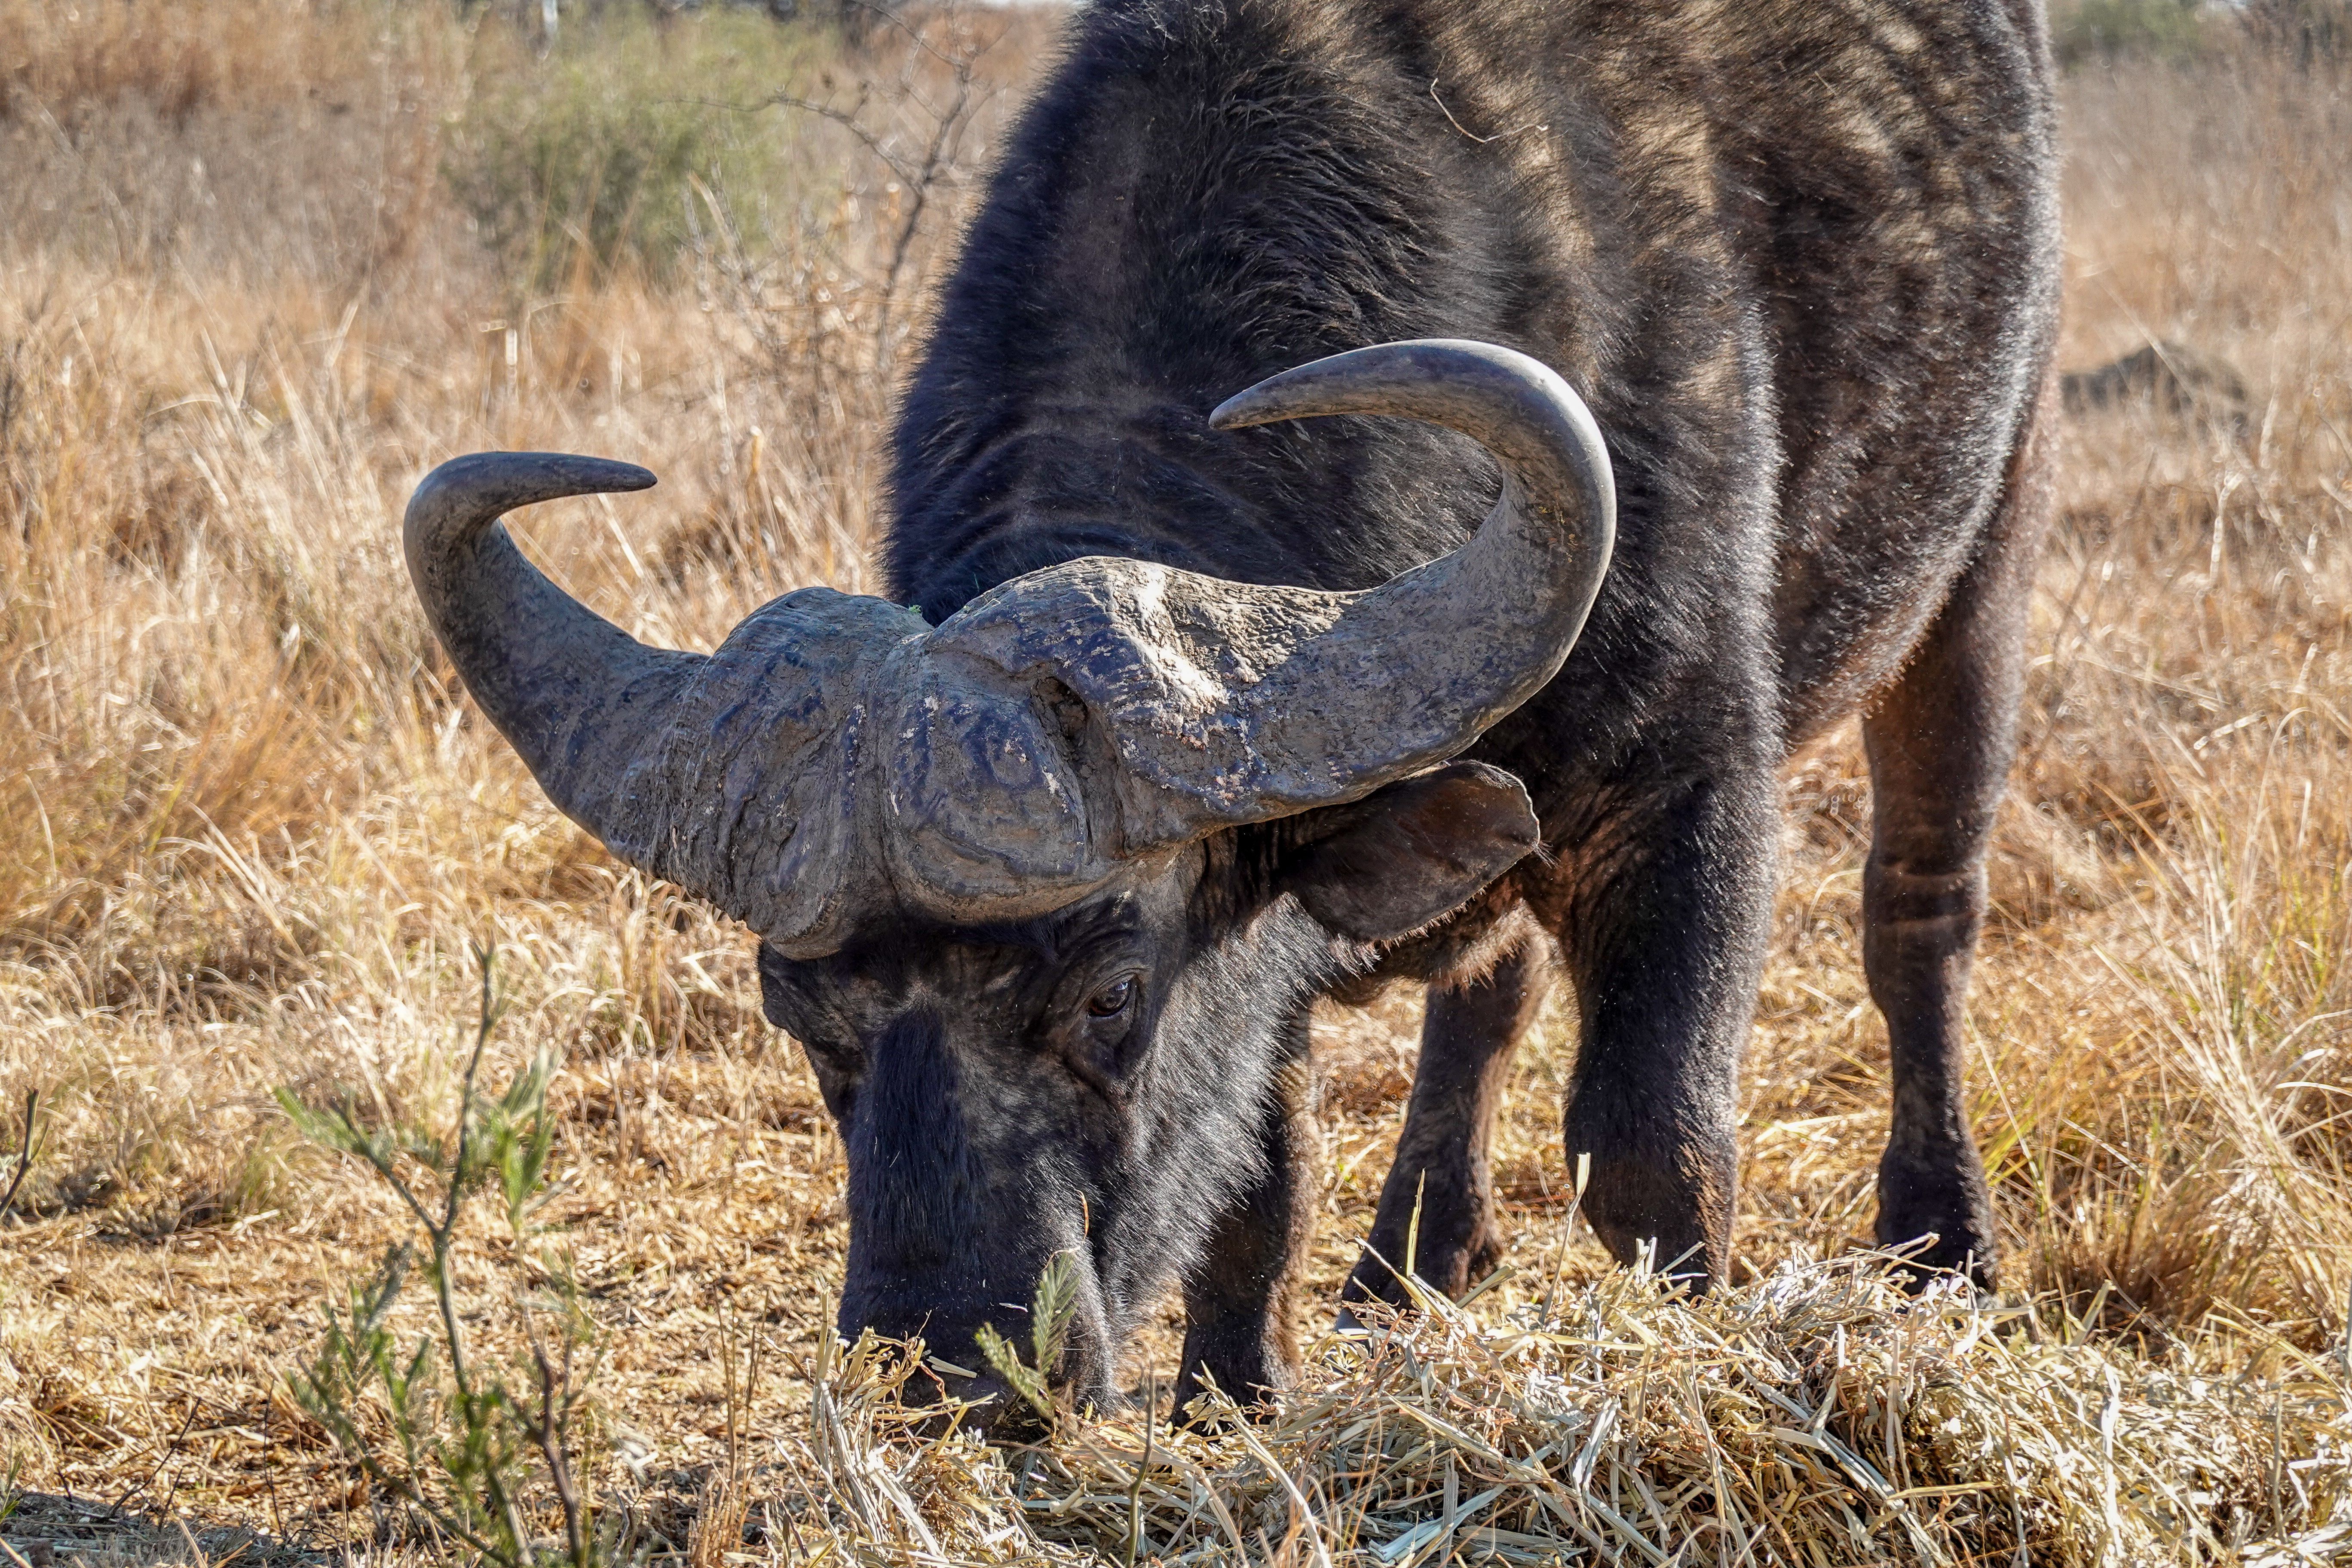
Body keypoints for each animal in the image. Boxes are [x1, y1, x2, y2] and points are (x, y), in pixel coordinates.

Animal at [405, 0, 2061, 1420]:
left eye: (1110, 996)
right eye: (802, 1017)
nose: (949, 1365)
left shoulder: (1690, 789)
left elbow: (1652, 1144)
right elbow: (1254, 1170)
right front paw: (1232, 1389)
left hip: (1985, 548)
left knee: (1918, 913)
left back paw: (1942, 1234)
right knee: (1487, 985)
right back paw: (1414, 1256)